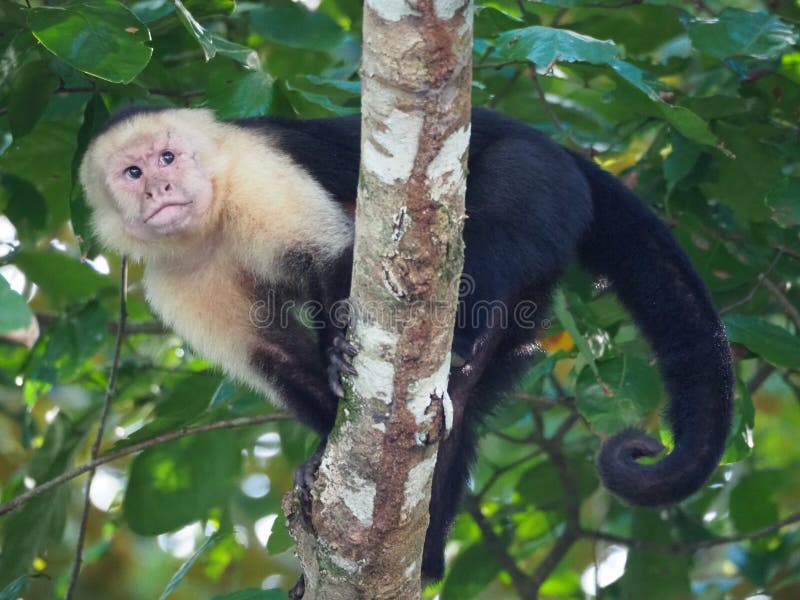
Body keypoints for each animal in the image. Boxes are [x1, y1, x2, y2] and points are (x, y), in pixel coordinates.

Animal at [79, 105, 733, 581]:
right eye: (133, 173)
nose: (160, 185)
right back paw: (426, 545)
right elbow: (277, 357)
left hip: (541, 176)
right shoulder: (175, 280)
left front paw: (340, 357)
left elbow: (337, 258)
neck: (210, 223)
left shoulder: (255, 172)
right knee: (467, 394)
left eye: (168, 156)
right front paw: (323, 453)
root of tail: (545, 137)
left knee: (489, 227)